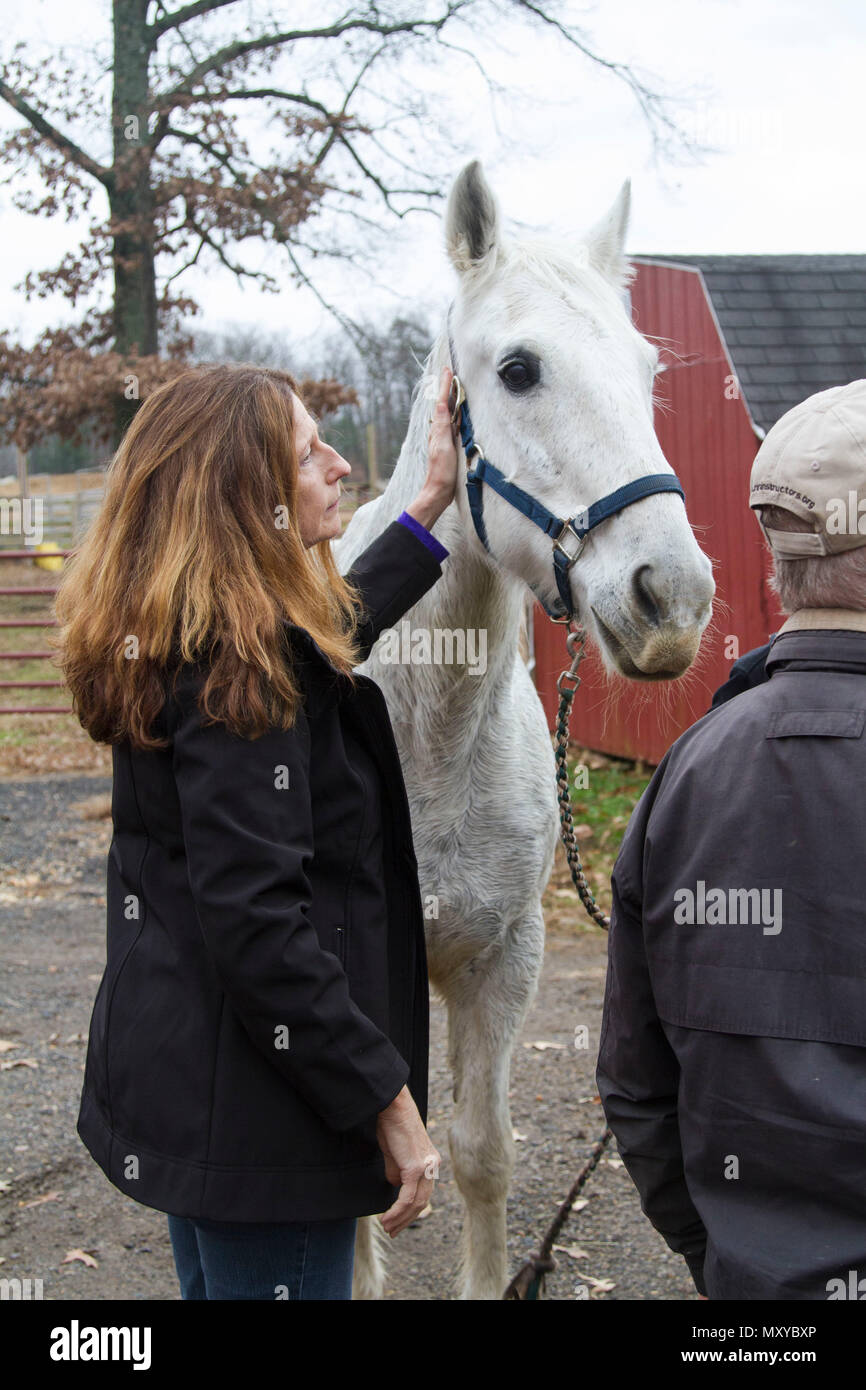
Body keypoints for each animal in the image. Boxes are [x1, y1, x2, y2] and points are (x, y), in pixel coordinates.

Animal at [334, 161, 715, 1300]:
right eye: (516, 369)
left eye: (645, 369)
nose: (673, 600)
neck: (424, 734)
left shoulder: (505, 957)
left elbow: (479, 1153)